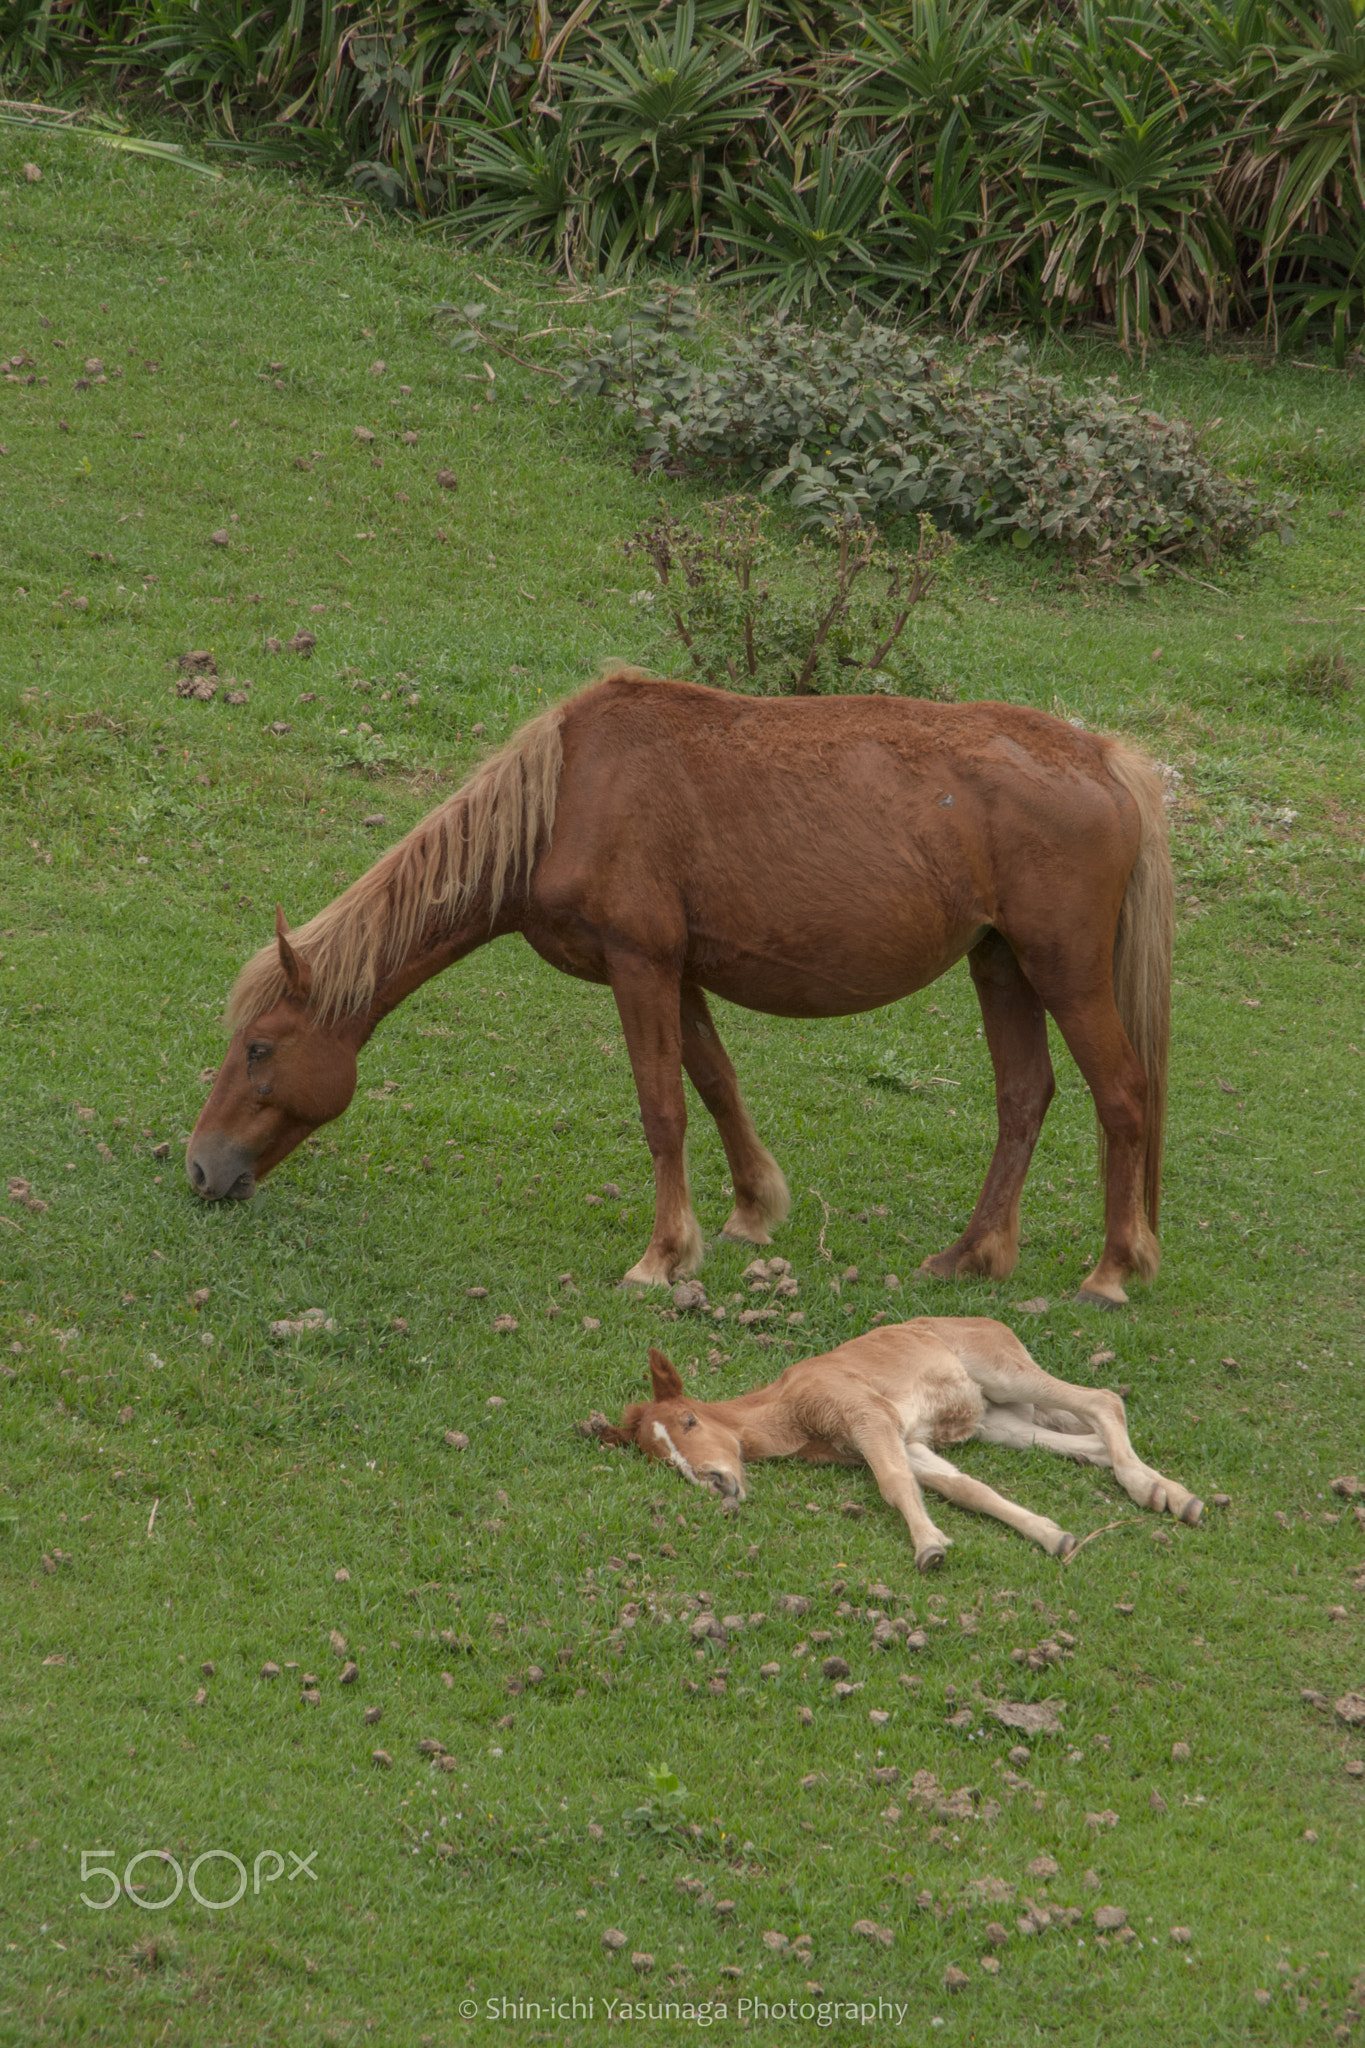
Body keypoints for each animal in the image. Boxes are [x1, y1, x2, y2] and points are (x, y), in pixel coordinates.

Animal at [187, 669, 1173, 1307]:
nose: (201, 1167)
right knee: (1023, 1098)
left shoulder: (641, 967)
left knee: (1122, 1097)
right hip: (1000, 965)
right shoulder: (682, 976)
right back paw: (970, 1256)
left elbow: (662, 1109)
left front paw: (661, 1257)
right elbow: (716, 1086)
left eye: (259, 1048)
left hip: (1062, 973)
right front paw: (748, 1214)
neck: (568, 799)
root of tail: (1100, 758)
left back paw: (1111, 1272)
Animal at [587, 1318, 1204, 1572]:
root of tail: (996, 1324)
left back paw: (1157, 1490)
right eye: (664, 1462)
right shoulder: (898, 1439)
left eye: (690, 1420)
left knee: (1103, 1400)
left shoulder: (868, 1416)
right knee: (1089, 1441)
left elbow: (892, 1484)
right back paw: (1167, 1494)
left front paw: (929, 1547)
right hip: (997, 1421)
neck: (790, 1411)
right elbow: (963, 1488)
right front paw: (1053, 1536)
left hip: (1004, 1374)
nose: (718, 1484)